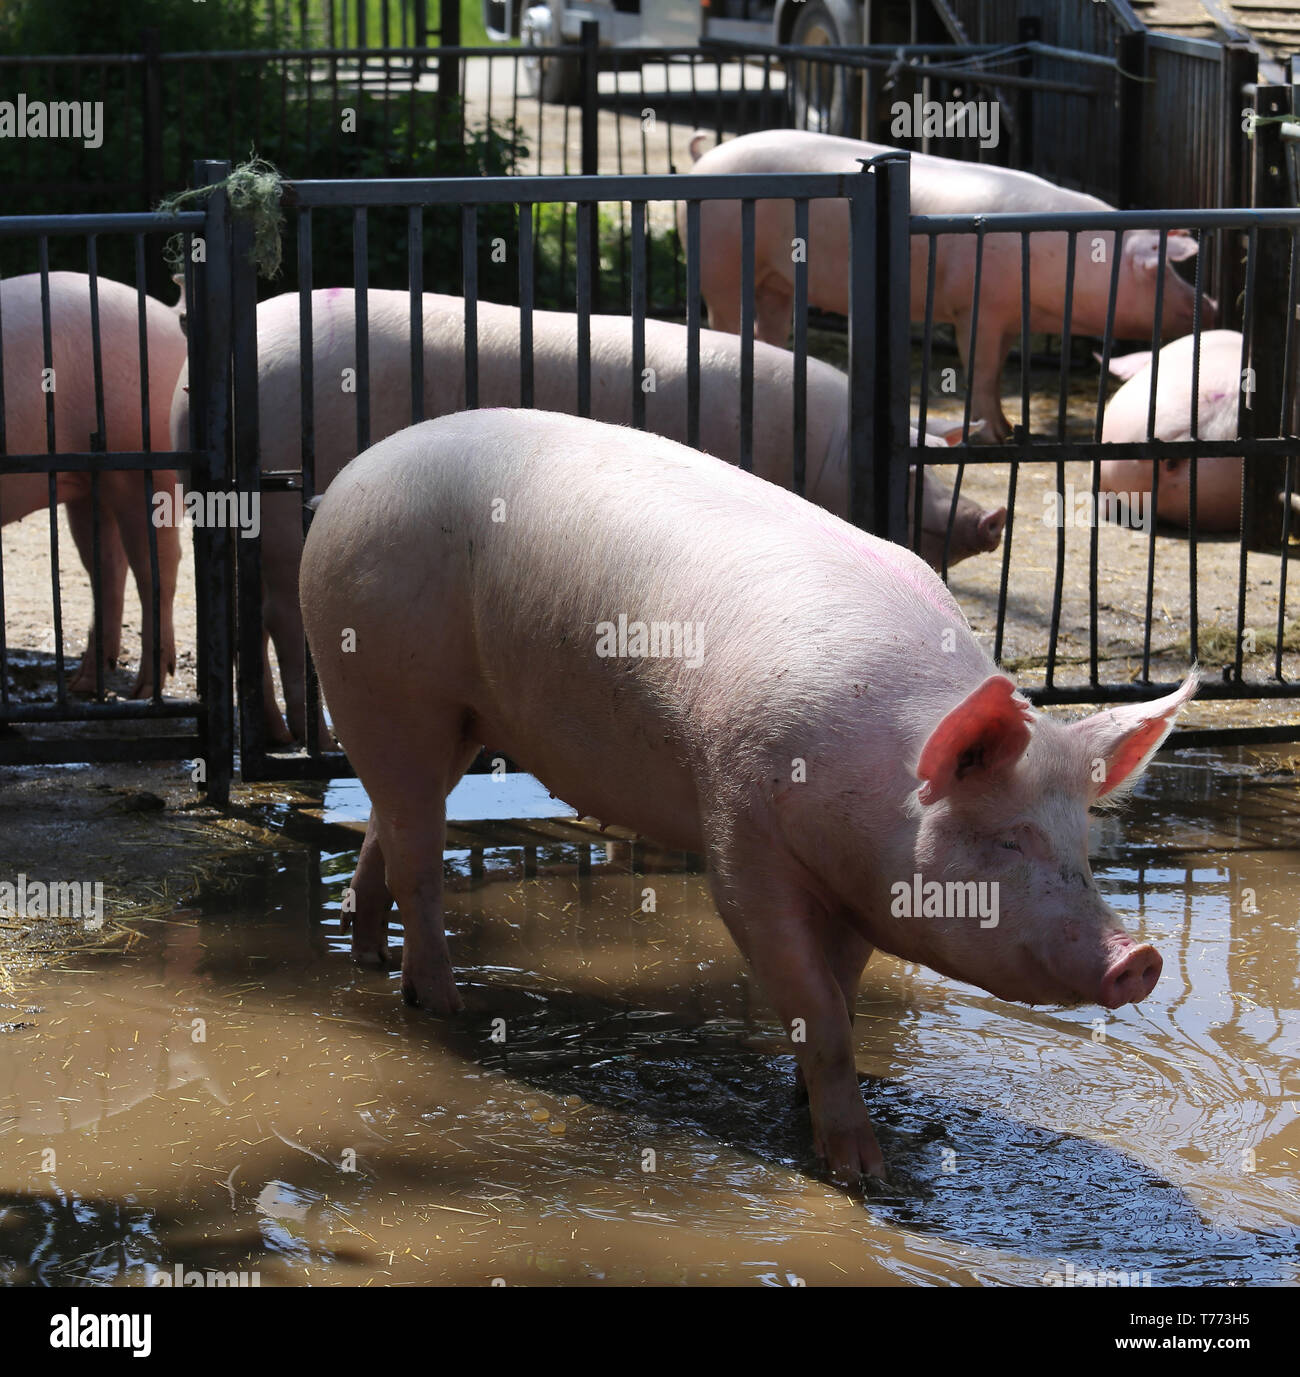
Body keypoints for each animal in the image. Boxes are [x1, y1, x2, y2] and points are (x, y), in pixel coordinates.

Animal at [1, 272, 187, 696]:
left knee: (155, 569)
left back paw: (142, 692)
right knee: (107, 567)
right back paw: (82, 685)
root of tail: (168, 314)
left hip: (141, 467)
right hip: (91, 483)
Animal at [170, 288, 1004, 743]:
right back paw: (305, 734)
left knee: (249, 619)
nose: (992, 517)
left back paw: (280, 731)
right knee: (281, 619)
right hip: (285, 521)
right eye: (919, 472)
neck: (829, 447)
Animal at [301, 407, 1196, 1184]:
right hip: (385, 682)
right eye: (1008, 837)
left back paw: (370, 955)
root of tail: (349, 477)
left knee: (386, 823)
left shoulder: (855, 882)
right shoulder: (741, 830)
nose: (1139, 956)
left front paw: (805, 1102)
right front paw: (863, 1173)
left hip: (452, 719)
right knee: (417, 851)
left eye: (1080, 844)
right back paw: (440, 1005)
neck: (875, 785)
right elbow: (815, 1001)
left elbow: (842, 993)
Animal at [682, 130, 1217, 443]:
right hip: (721, 266)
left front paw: (1010, 429)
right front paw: (997, 437)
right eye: (1162, 269)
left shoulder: (1010, 318)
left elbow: (997, 371)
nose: (1211, 305)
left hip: (777, 281)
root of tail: (706, 157)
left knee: (770, 325)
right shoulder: (978, 308)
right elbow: (980, 368)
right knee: (726, 319)